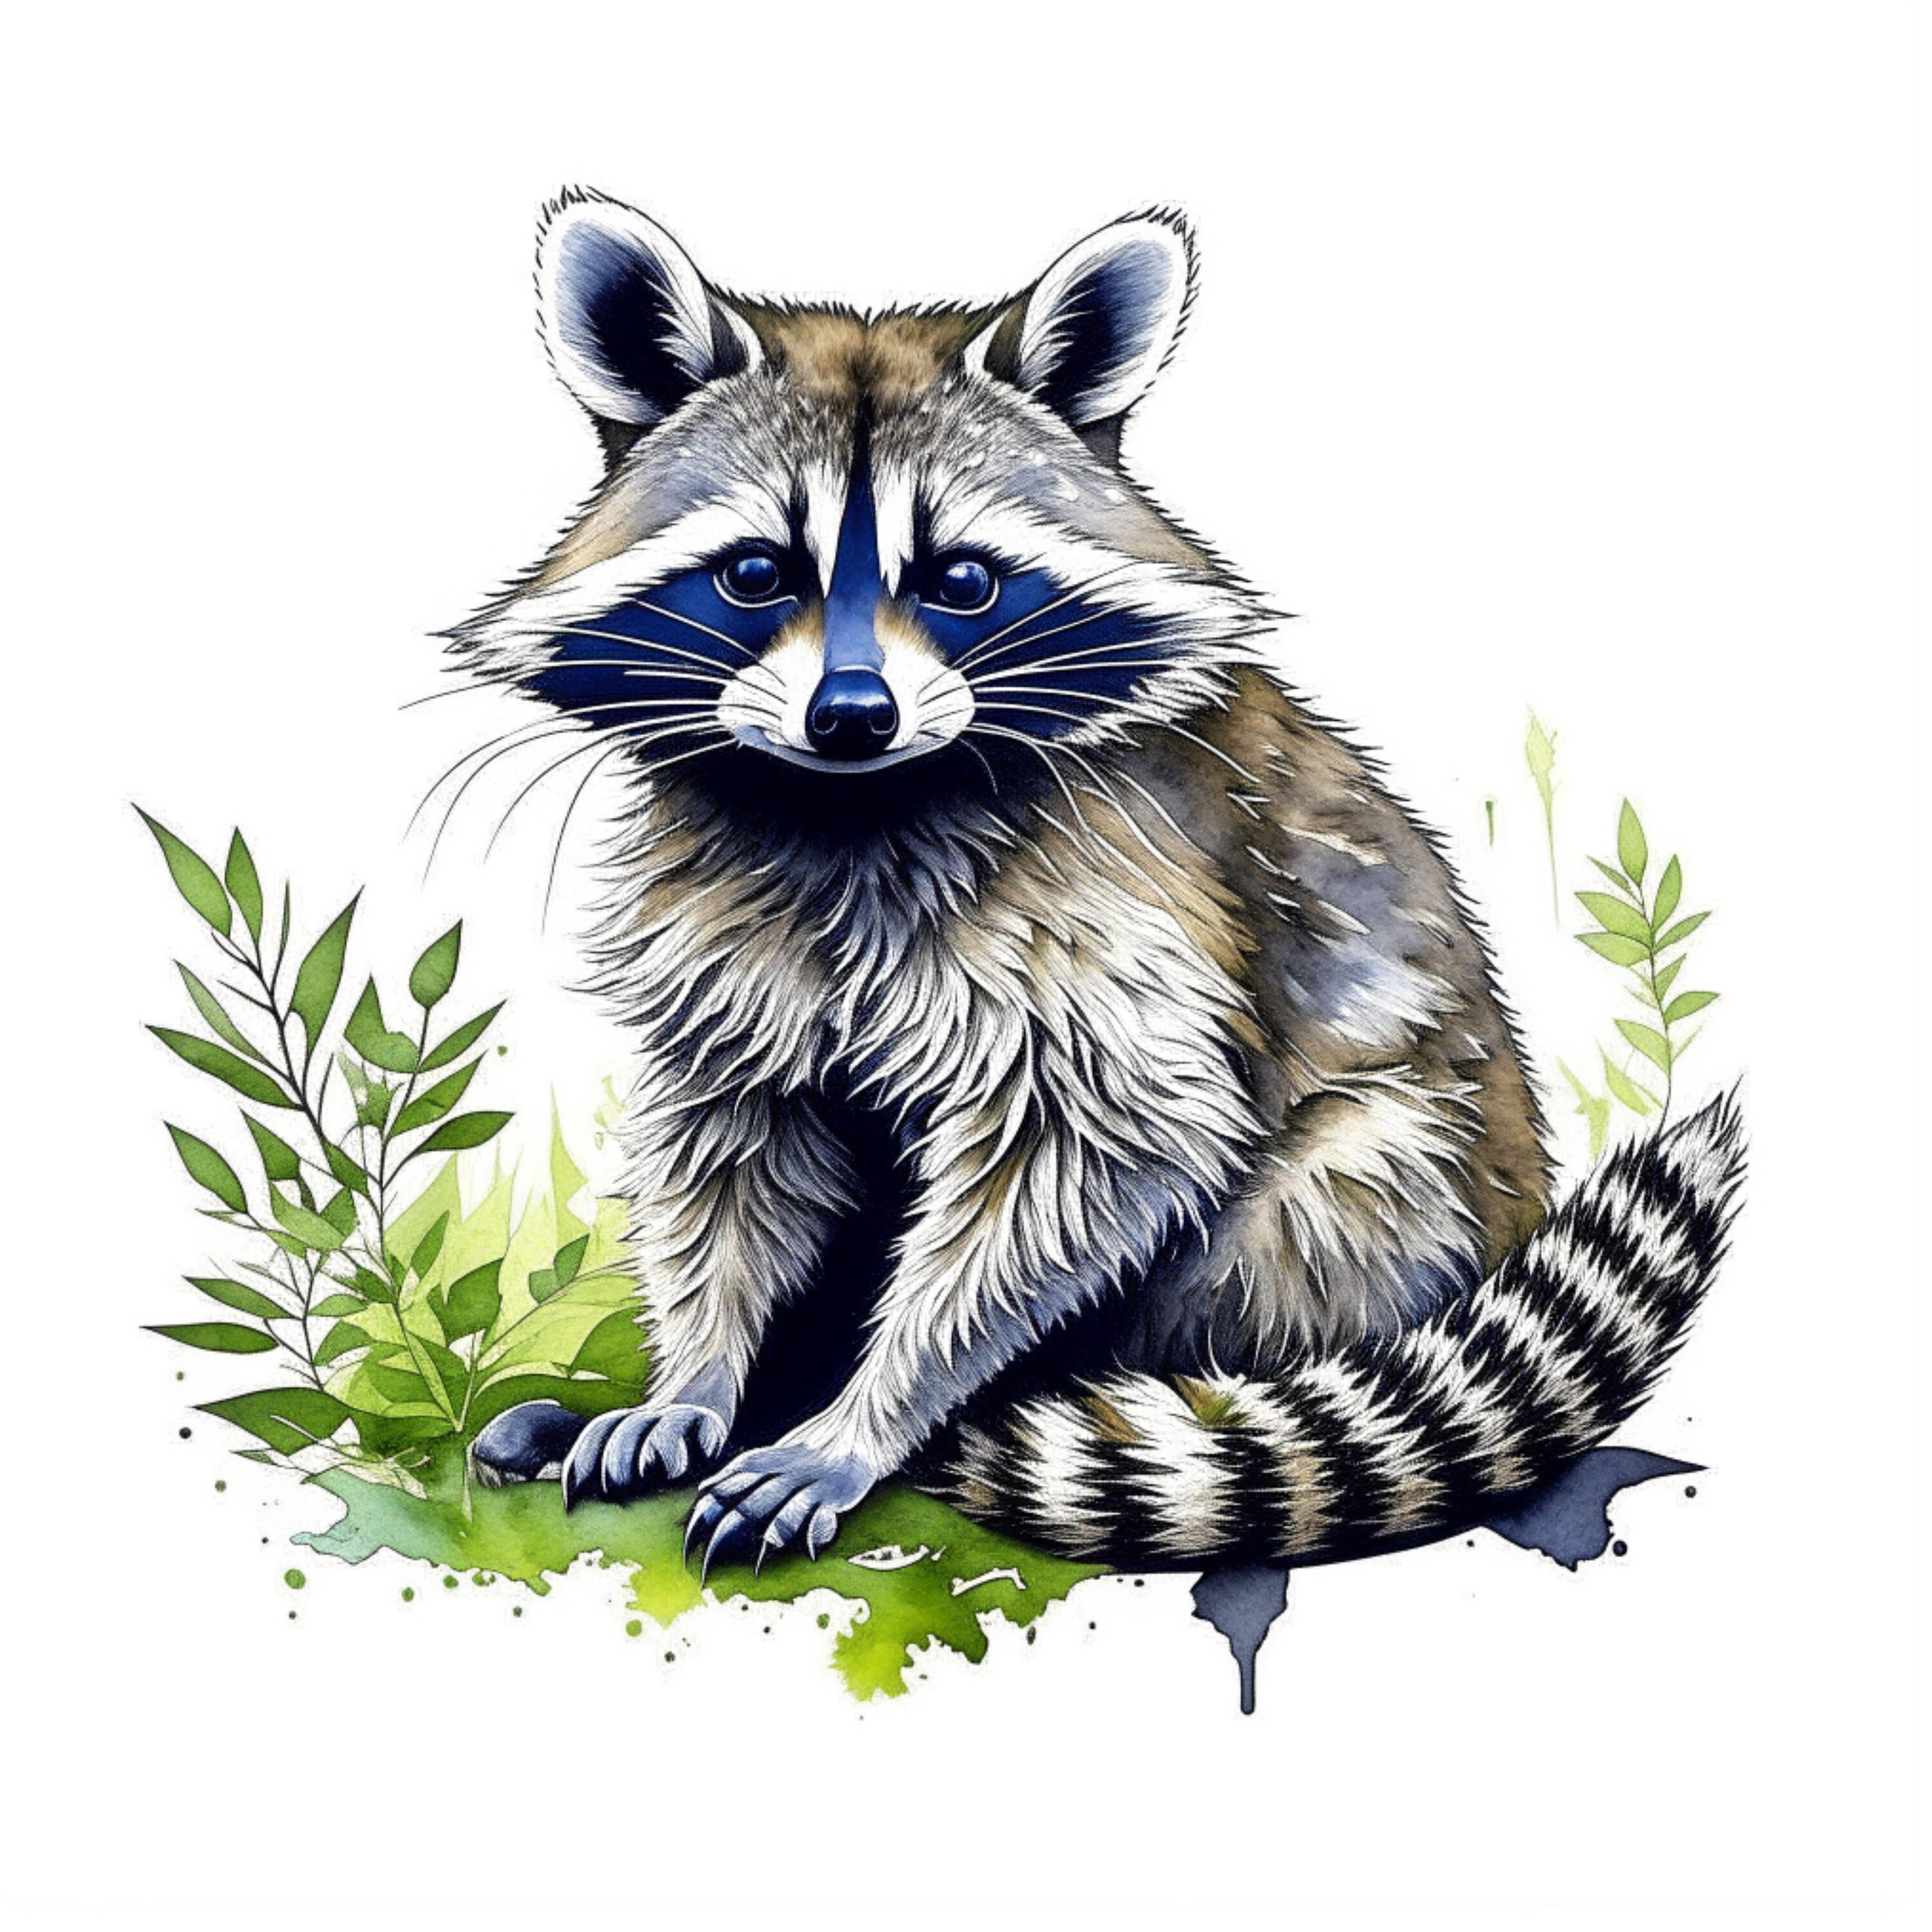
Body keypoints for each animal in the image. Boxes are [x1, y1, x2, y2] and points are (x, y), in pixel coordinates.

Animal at [465, 191, 1744, 1571]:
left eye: (963, 581)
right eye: (756, 573)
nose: (852, 714)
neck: (851, 805)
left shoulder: (1121, 895)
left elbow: (1098, 1147)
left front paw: (866, 1413)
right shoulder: (719, 921)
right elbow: (734, 1140)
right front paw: (702, 1373)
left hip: (1393, 1184)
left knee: (1326, 1195)